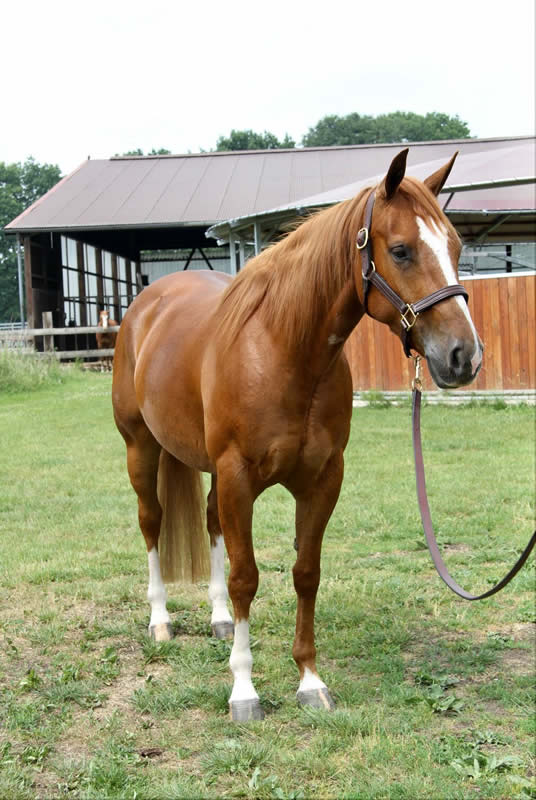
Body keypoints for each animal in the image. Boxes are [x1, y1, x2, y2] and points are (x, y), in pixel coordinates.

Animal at [111, 149, 483, 721]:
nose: (464, 357)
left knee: (210, 522)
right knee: (151, 523)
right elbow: (246, 577)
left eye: (457, 248)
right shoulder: (239, 477)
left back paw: (218, 619)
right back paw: (160, 621)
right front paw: (244, 690)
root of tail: (147, 305)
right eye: (400, 250)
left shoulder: (321, 480)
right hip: (141, 448)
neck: (282, 350)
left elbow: (306, 572)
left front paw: (309, 680)